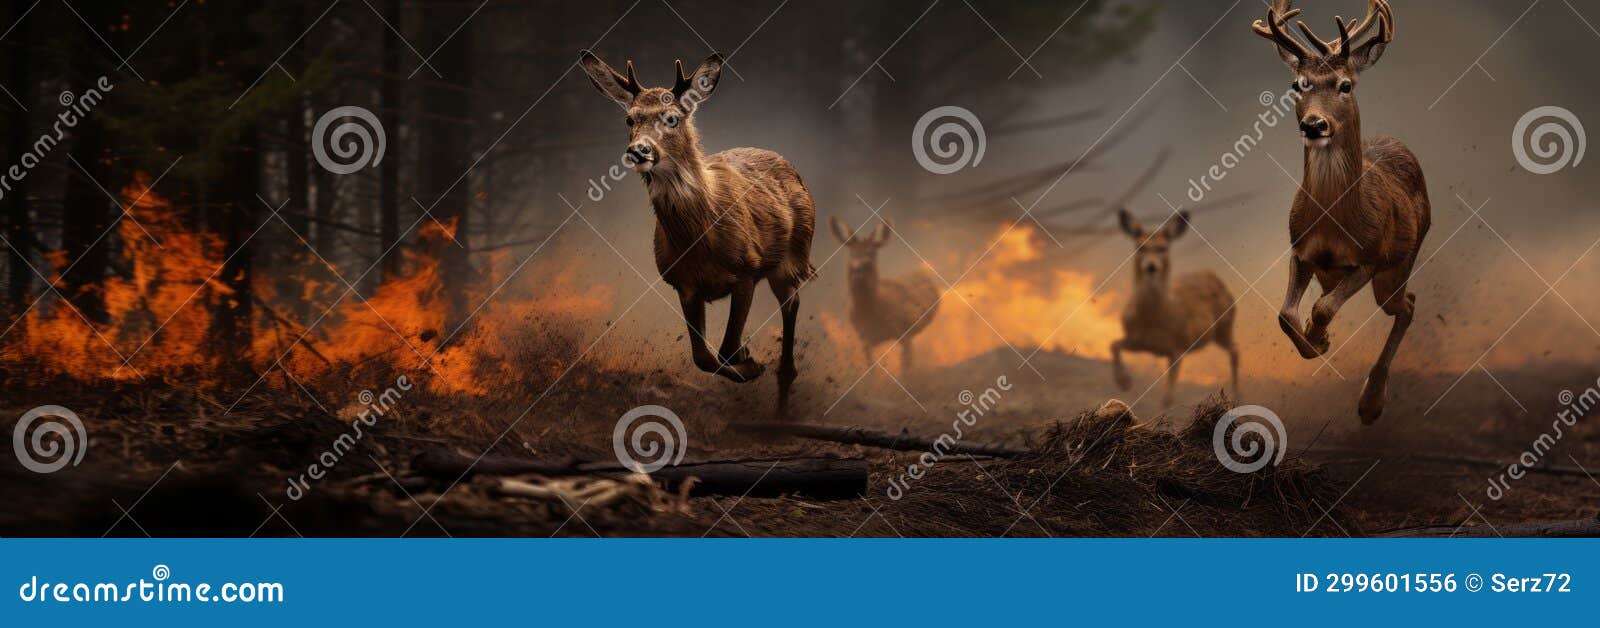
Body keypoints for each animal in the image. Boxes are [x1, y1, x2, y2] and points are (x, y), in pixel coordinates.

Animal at [579, 50, 816, 418]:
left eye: (672, 118)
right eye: (629, 119)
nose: (639, 150)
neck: (699, 240)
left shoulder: (746, 270)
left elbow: (726, 348)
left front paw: (750, 363)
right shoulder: (683, 283)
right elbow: (702, 357)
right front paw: (747, 360)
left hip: (793, 258)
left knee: (792, 305)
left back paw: (782, 389)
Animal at [828, 217, 941, 374]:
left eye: (872, 252)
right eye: (851, 252)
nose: (857, 270)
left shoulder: (903, 331)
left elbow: (905, 368)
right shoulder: (865, 339)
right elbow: (871, 369)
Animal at [1110, 209, 1239, 409]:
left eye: (1163, 248)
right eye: (1140, 247)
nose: (1151, 266)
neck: (1152, 319)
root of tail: (1213, 276)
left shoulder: (1178, 346)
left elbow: (1168, 398)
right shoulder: (1137, 340)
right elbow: (1113, 345)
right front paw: (1124, 382)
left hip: (1225, 326)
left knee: (1235, 350)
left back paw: (1237, 397)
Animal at [1251, 0, 1430, 424]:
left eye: (1345, 85)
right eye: (1298, 85)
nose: (1314, 124)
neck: (1335, 222)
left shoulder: (1369, 257)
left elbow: (1323, 308)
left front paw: (1319, 338)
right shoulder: (1299, 250)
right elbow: (1285, 314)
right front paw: (1314, 344)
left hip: (1397, 266)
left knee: (1408, 305)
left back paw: (1371, 403)